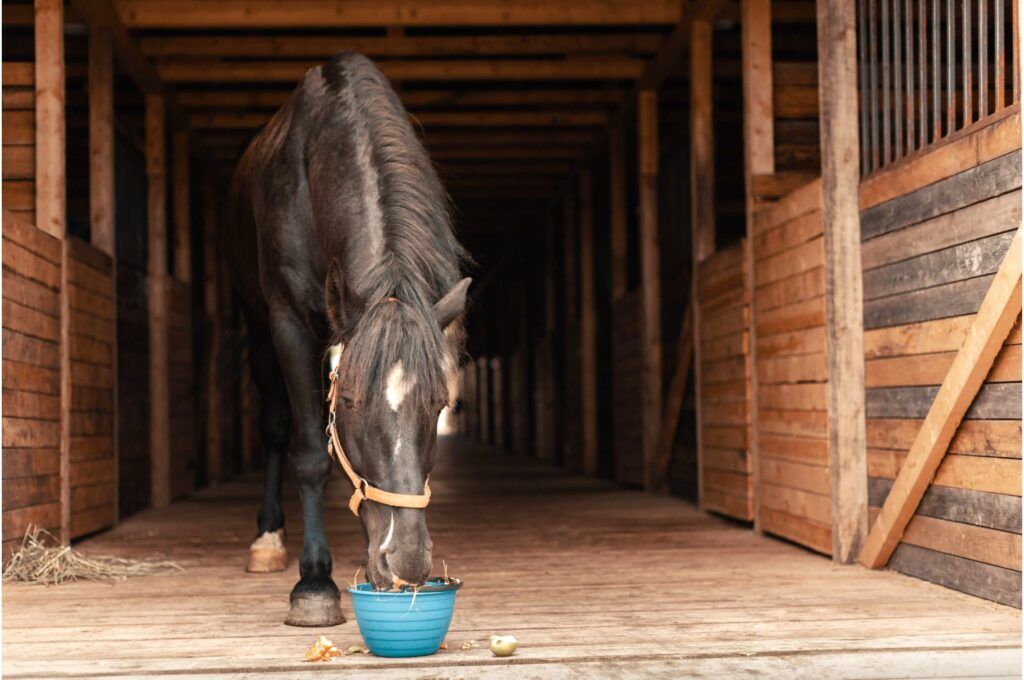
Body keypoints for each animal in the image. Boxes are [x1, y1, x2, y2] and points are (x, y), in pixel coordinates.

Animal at [225, 52, 471, 627]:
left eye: (440, 404)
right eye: (353, 402)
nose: (406, 560)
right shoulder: (289, 321)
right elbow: (311, 454)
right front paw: (314, 585)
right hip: (258, 326)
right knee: (275, 425)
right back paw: (267, 540)